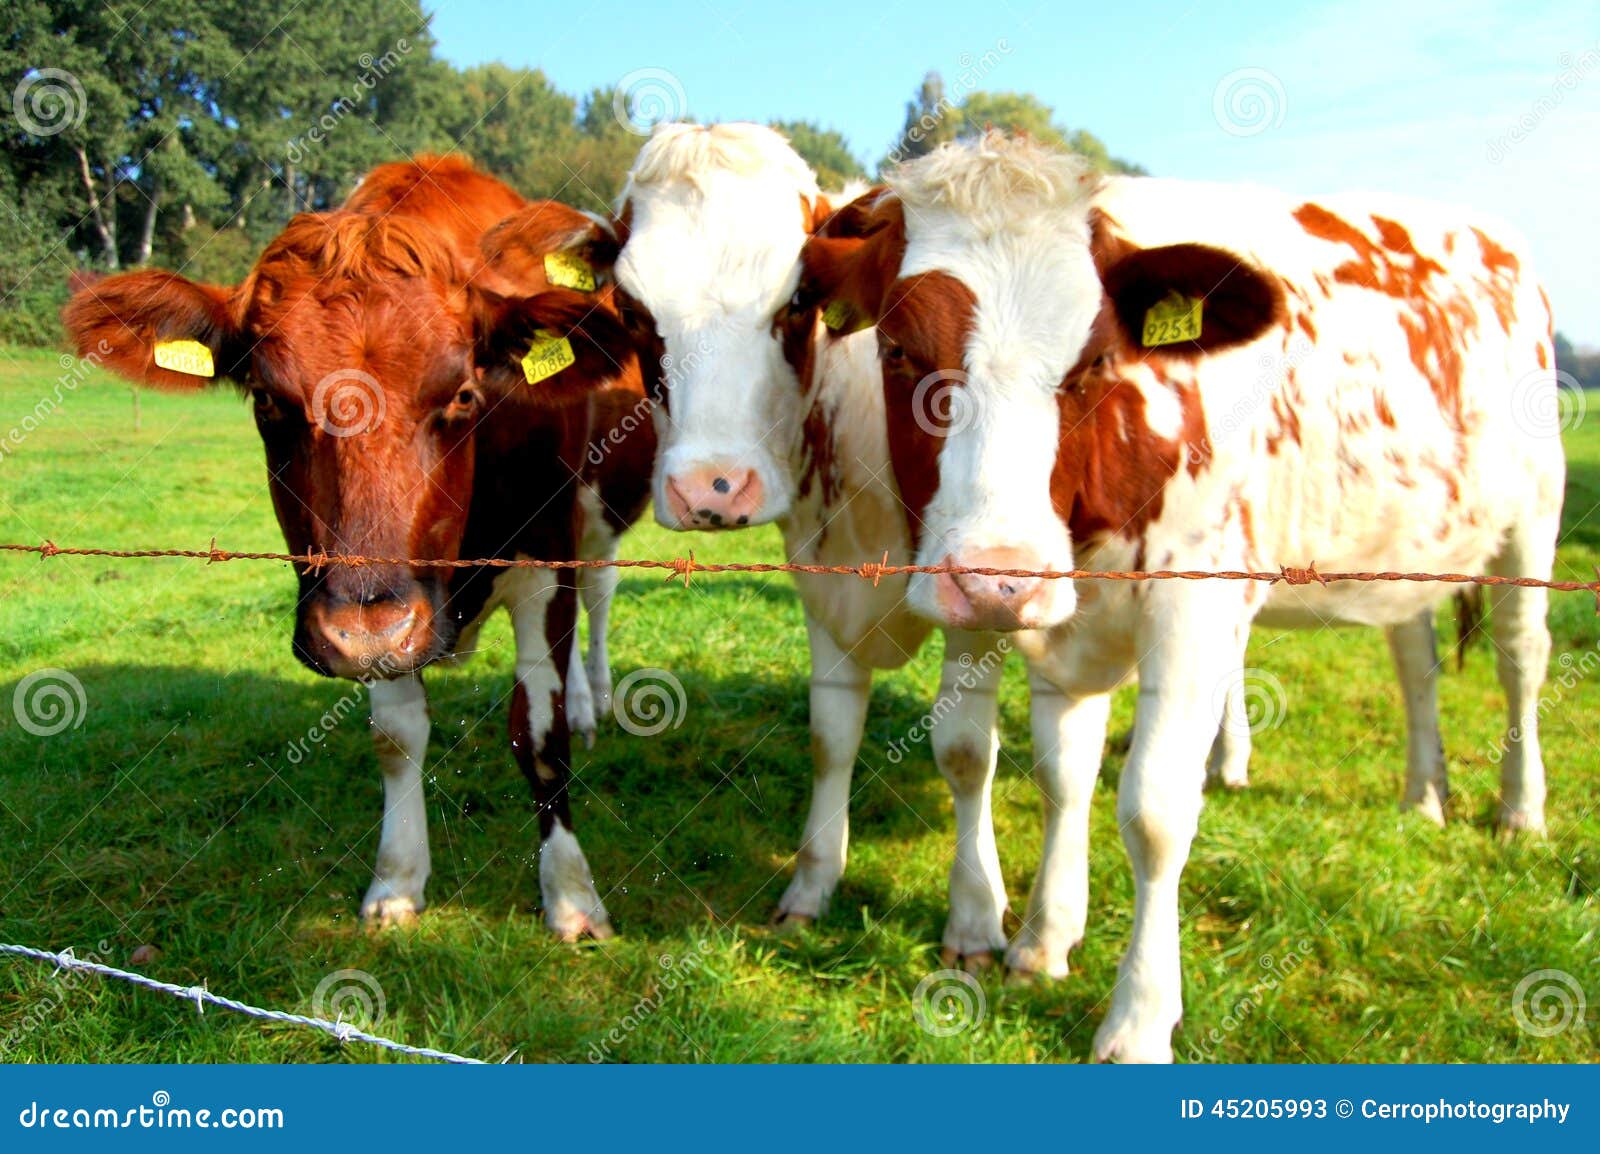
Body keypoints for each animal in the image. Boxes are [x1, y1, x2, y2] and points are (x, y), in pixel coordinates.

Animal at [62, 155, 654, 940]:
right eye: (268, 400)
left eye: (463, 395)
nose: (366, 633)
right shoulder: (371, 609)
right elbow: (396, 737)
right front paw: (398, 879)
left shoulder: (543, 563)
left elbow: (540, 737)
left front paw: (571, 895)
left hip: (599, 511)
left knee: (600, 595)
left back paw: (596, 699)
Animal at [800, 132, 1563, 1060]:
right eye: (900, 352)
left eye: (1095, 361)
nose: (997, 575)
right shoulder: (1045, 611)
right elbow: (1061, 774)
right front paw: (1045, 939)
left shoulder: (1193, 601)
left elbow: (1155, 811)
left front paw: (1137, 1019)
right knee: (1414, 662)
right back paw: (1423, 795)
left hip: (1534, 519)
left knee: (1522, 660)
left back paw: (1520, 808)